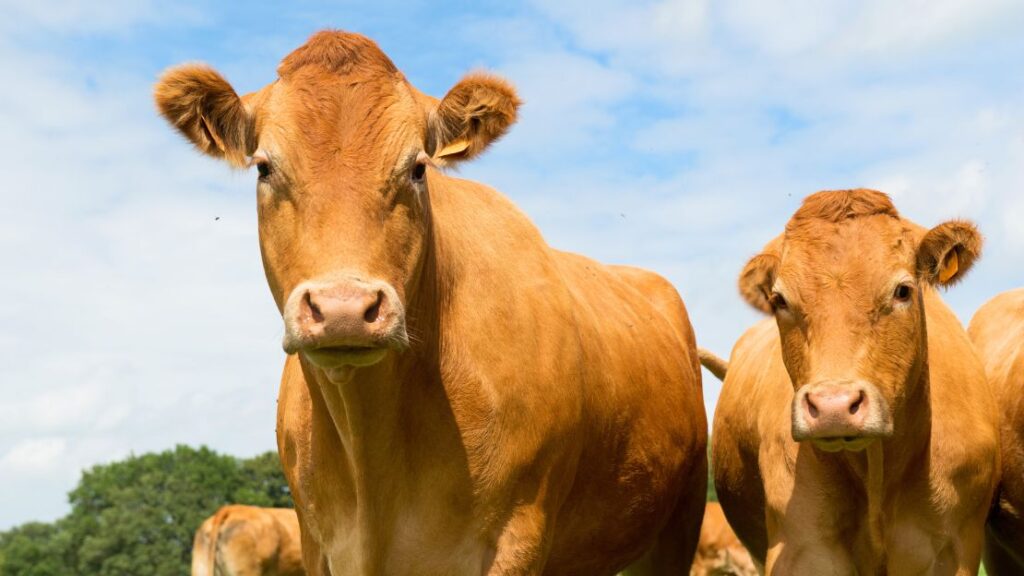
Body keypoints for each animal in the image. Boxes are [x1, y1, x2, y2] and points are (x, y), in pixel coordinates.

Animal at [155, 30, 708, 575]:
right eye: (265, 168)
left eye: (419, 168)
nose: (344, 309)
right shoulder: (318, 543)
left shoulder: (518, 537)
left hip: (677, 521)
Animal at [701, 189, 999, 574]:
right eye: (779, 300)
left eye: (903, 290)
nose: (834, 407)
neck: (877, 472)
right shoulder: (802, 547)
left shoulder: (951, 548)